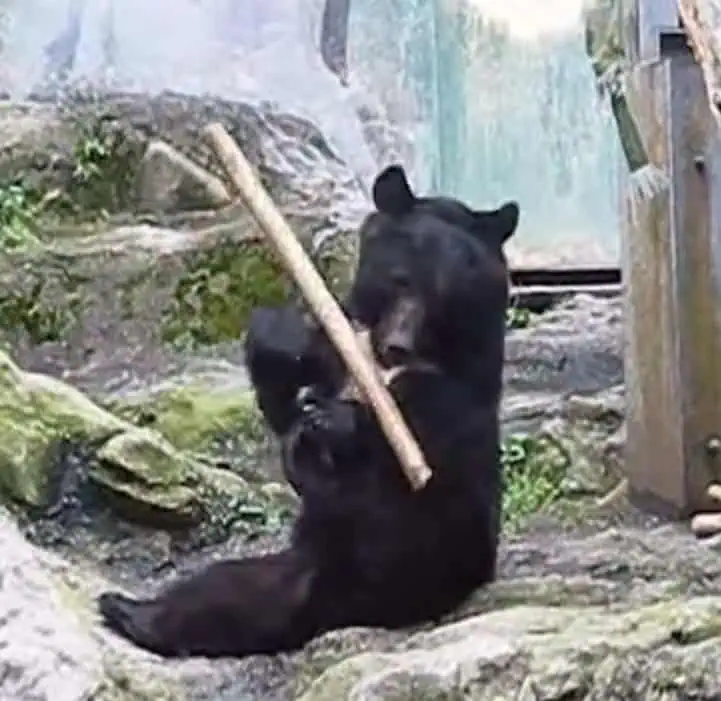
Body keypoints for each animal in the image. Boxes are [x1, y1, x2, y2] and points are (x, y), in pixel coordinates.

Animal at [96, 164, 520, 659]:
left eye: (444, 298)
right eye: (399, 279)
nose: (398, 345)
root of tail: (334, 599)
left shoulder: (456, 399)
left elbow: (426, 447)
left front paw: (339, 426)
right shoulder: (336, 351)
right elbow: (286, 374)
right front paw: (288, 352)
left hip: (423, 561)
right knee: (227, 590)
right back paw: (130, 609)